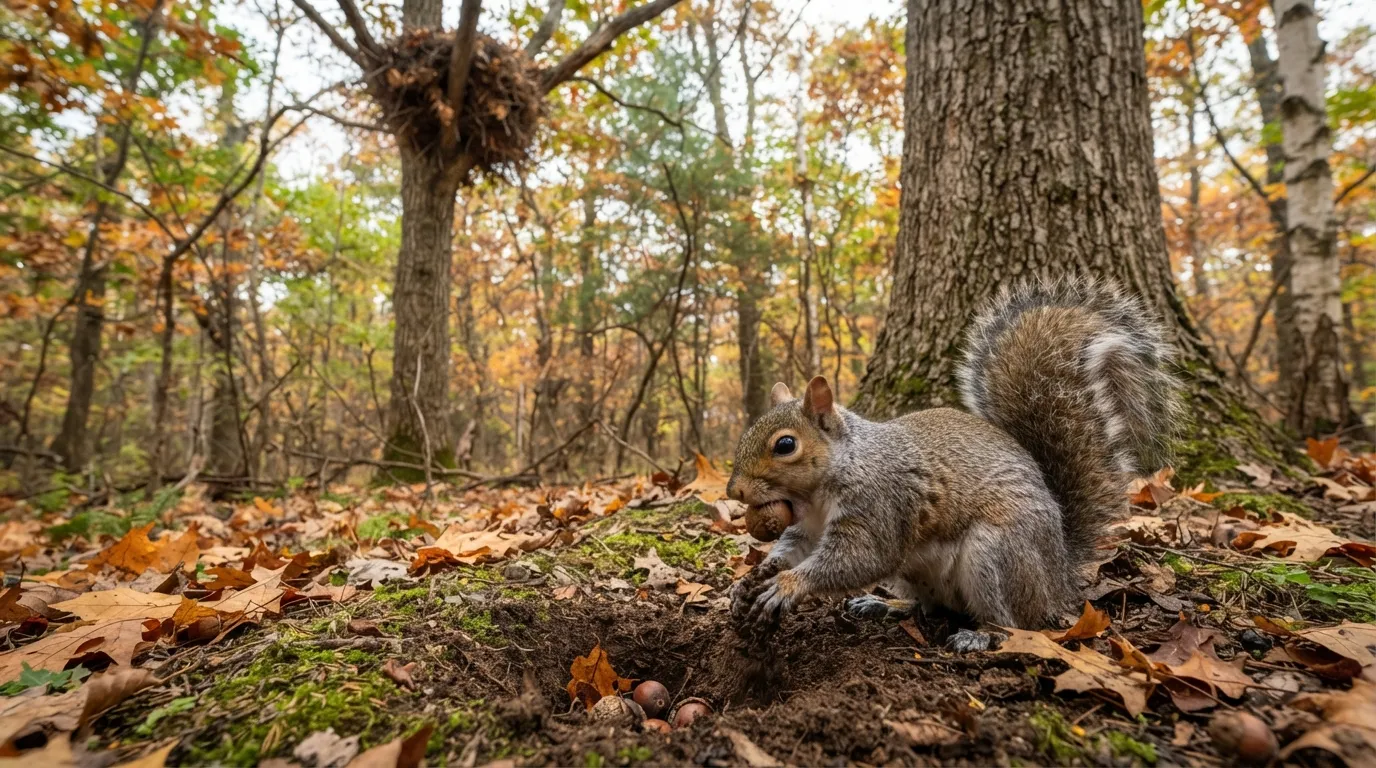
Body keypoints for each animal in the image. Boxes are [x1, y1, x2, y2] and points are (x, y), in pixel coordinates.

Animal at [725, 279, 1179, 649]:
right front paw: (758, 573)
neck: (820, 490)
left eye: (785, 445)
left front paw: (788, 585)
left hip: (996, 555)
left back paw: (980, 637)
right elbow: (794, 546)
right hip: (918, 574)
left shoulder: (880, 503)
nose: (735, 491)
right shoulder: (808, 526)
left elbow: (862, 557)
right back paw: (886, 606)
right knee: (930, 608)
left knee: (1013, 622)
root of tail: (1057, 575)